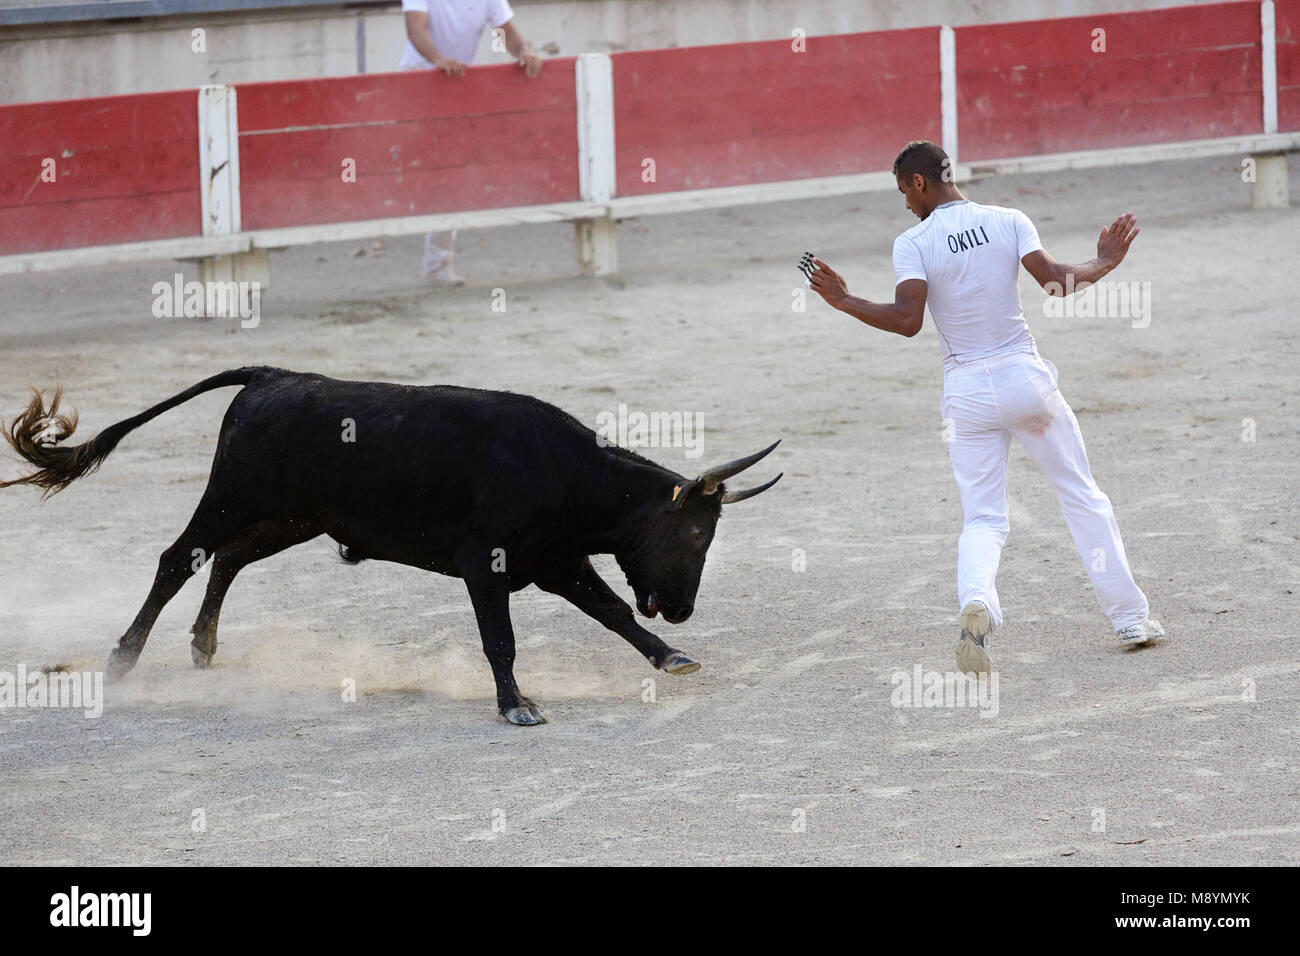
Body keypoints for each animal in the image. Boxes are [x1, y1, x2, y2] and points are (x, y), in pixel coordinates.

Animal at [0, 367, 781, 724]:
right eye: (694, 530)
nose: (680, 609)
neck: (566, 472)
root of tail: (272, 378)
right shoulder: (486, 566)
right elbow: (500, 639)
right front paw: (517, 706)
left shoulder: (559, 563)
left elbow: (613, 612)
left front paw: (672, 656)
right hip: (232, 499)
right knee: (178, 559)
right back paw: (123, 659)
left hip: (292, 519)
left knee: (227, 560)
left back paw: (203, 647)